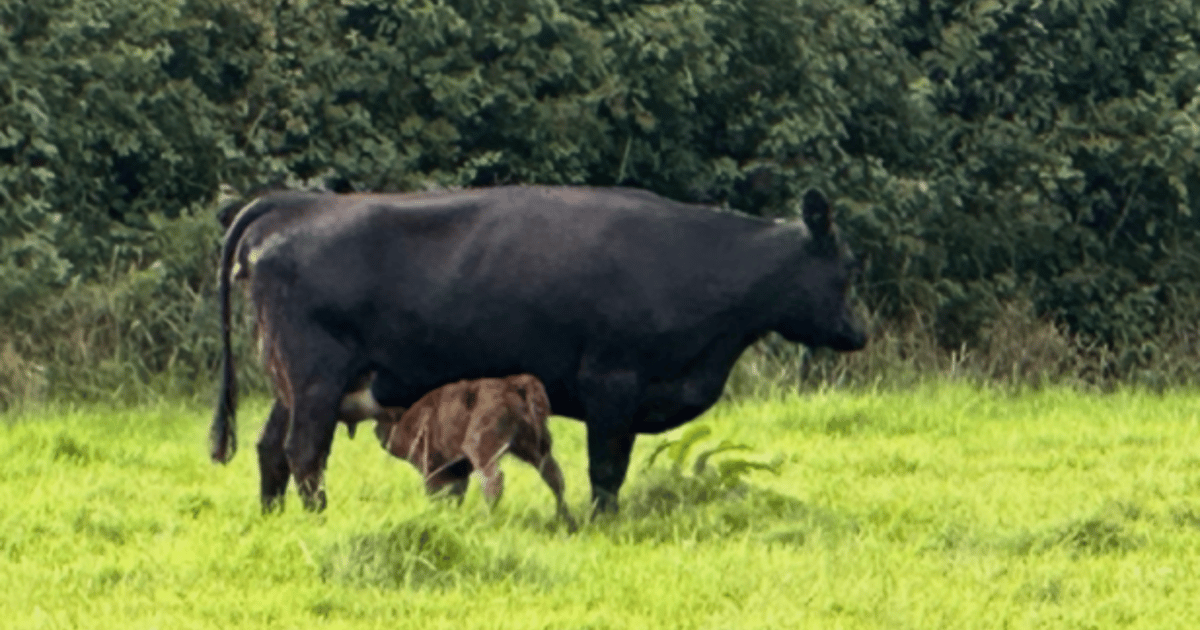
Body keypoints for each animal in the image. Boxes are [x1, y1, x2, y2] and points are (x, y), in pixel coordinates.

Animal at [209, 185, 867, 516]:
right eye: (848, 269)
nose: (859, 333)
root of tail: (299, 202)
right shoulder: (613, 383)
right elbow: (607, 469)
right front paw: (604, 525)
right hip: (315, 374)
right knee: (302, 451)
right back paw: (318, 517)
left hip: (292, 382)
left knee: (270, 449)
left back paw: (272, 519)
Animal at [340, 373, 577, 532]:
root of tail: (514, 384)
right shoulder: (459, 468)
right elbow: (457, 492)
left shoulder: (432, 466)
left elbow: (437, 491)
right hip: (536, 448)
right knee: (555, 477)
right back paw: (566, 521)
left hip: (482, 448)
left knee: (494, 480)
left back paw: (487, 520)